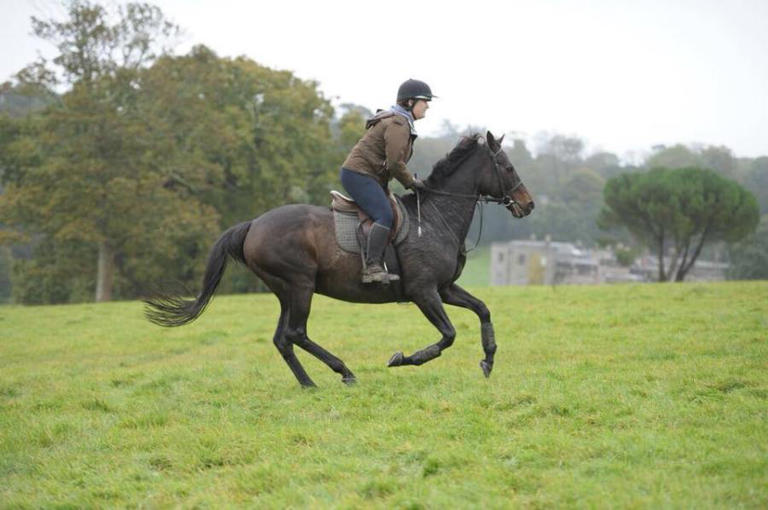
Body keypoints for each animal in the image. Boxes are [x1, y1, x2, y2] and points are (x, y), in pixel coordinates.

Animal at [145, 131, 535, 387]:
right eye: (506, 166)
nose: (528, 204)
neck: (436, 216)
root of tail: (253, 224)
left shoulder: (445, 288)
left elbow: (483, 310)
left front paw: (488, 359)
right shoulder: (424, 291)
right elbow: (449, 335)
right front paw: (404, 359)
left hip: (285, 291)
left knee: (282, 338)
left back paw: (309, 384)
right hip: (299, 285)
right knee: (296, 333)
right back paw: (344, 372)